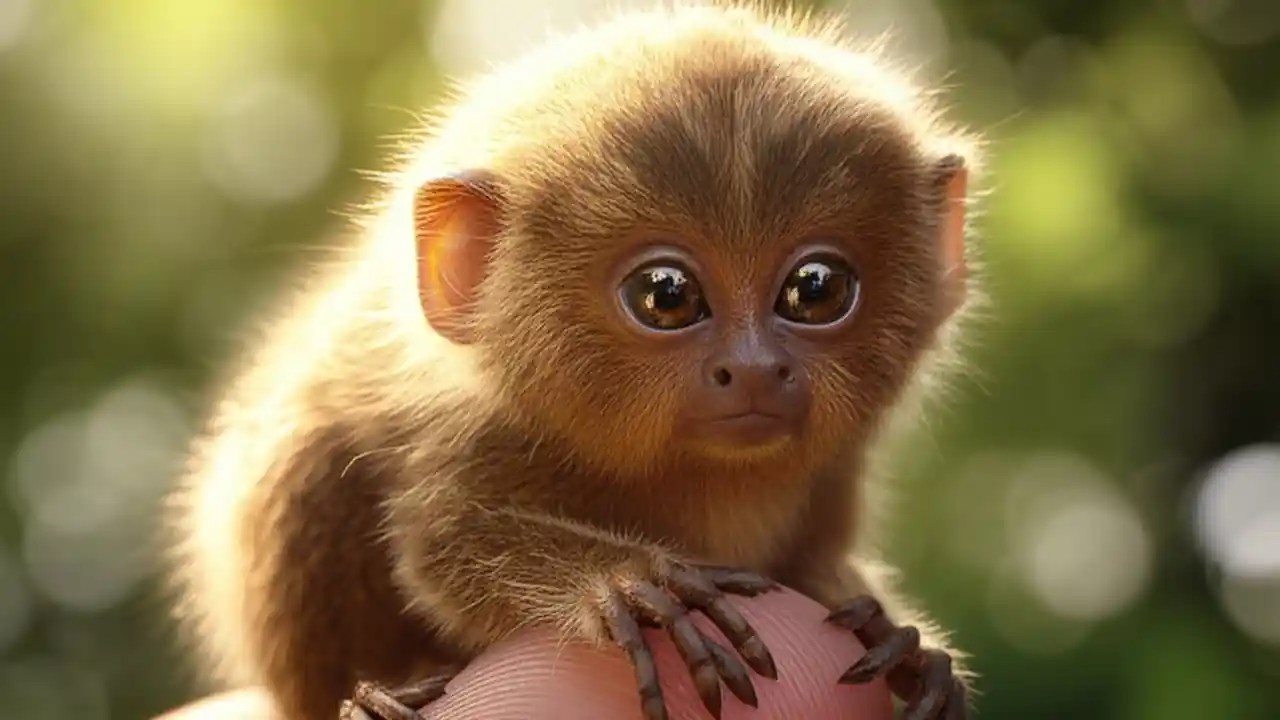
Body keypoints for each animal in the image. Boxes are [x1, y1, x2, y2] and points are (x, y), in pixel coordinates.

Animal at [165, 4, 981, 720]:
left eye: (816, 290)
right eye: (666, 296)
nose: (752, 368)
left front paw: (905, 644)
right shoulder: (470, 435)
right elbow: (444, 545)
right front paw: (619, 581)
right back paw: (366, 701)